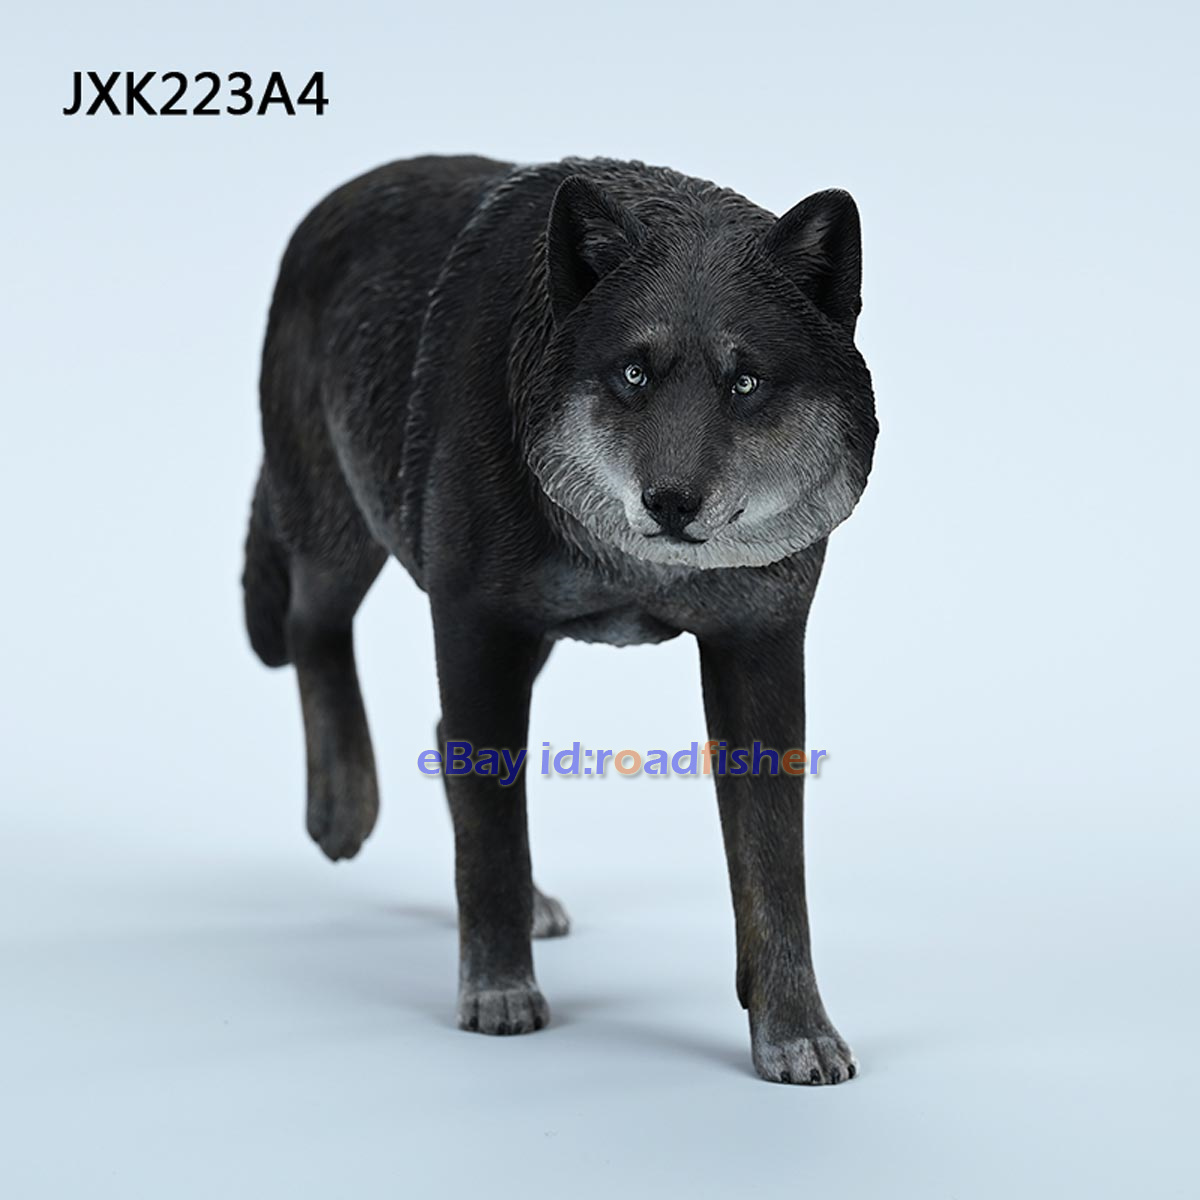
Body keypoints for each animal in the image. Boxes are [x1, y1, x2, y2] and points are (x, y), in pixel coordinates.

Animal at [243, 154, 878, 1084]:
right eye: (633, 374)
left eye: (746, 382)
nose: (672, 503)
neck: (634, 564)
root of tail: (334, 200)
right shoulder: (475, 625)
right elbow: (494, 828)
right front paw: (499, 991)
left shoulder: (758, 651)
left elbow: (772, 872)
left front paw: (795, 1033)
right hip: (342, 533)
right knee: (309, 629)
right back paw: (341, 810)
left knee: (437, 727)